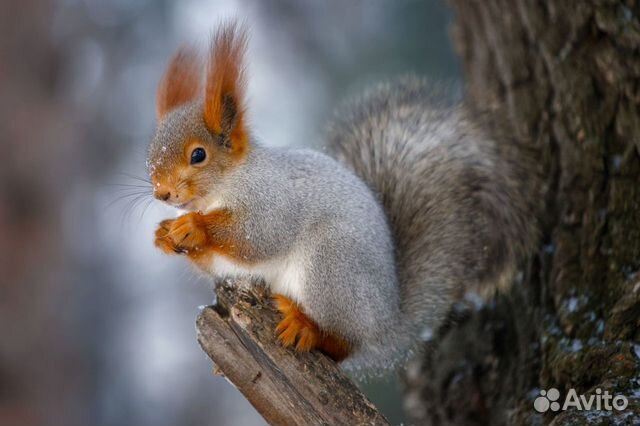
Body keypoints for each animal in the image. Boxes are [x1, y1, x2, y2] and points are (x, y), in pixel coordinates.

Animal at [148, 22, 539, 372]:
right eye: (151, 153)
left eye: (198, 155)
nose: (161, 192)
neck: (224, 186)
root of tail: (387, 322)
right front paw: (164, 234)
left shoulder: (273, 201)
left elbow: (257, 237)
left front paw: (194, 227)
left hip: (331, 264)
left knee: (343, 344)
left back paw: (306, 327)